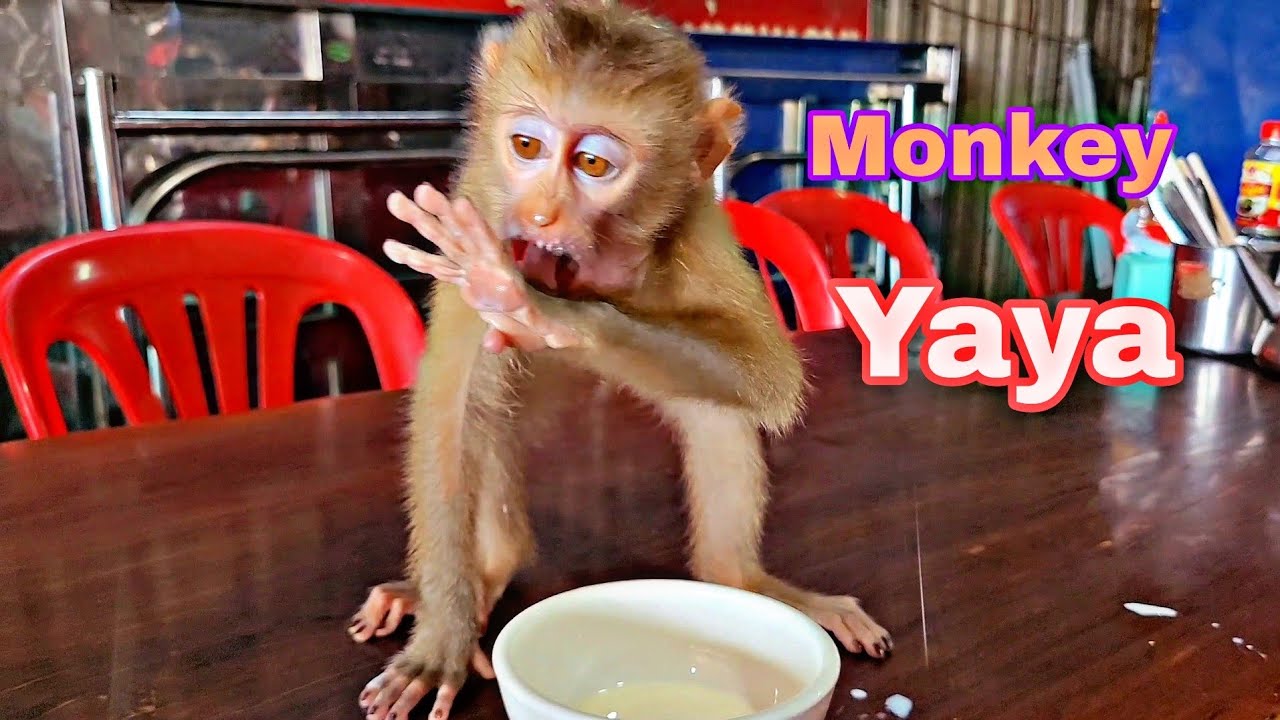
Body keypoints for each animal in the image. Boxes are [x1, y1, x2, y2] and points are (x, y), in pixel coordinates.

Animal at [346, 3, 892, 719]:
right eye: (527, 148)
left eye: (592, 163)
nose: (540, 216)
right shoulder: (482, 204)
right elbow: (450, 407)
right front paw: (440, 643)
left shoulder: (696, 232)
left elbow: (768, 378)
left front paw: (542, 311)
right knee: (490, 407)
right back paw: (488, 572)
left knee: (717, 411)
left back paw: (739, 578)